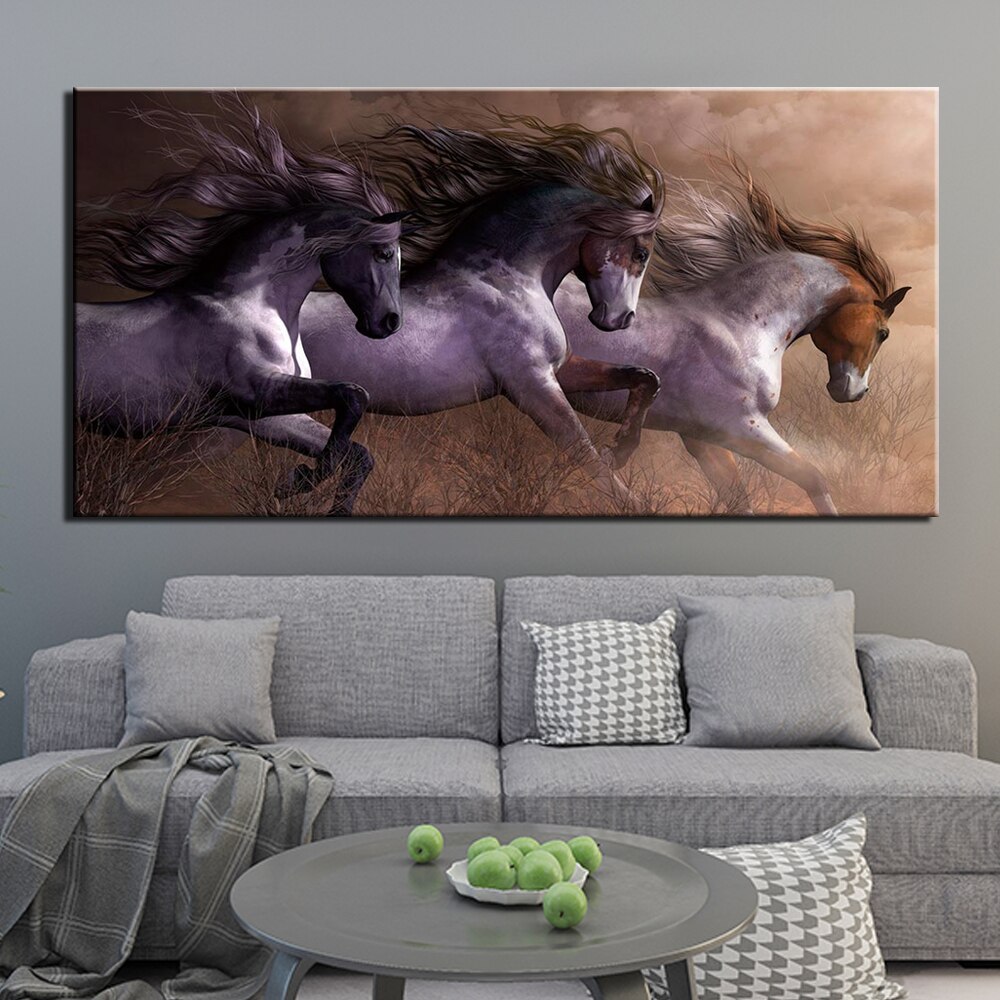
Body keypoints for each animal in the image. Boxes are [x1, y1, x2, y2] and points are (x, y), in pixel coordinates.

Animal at [75, 97, 405, 515]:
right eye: (383, 253)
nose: (390, 322)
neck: (252, 305)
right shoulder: (255, 391)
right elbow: (353, 395)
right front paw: (296, 481)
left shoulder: (260, 417)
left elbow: (359, 452)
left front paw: (310, 491)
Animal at [298, 115, 666, 503]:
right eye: (641, 253)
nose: (621, 319)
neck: (504, 279)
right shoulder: (531, 383)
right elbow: (583, 450)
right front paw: (628, 492)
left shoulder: (559, 369)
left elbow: (645, 377)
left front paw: (621, 449)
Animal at [555, 159, 911, 515]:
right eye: (884, 333)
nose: (855, 392)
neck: (740, 326)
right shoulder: (741, 426)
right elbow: (813, 478)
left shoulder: (704, 438)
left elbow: (739, 498)